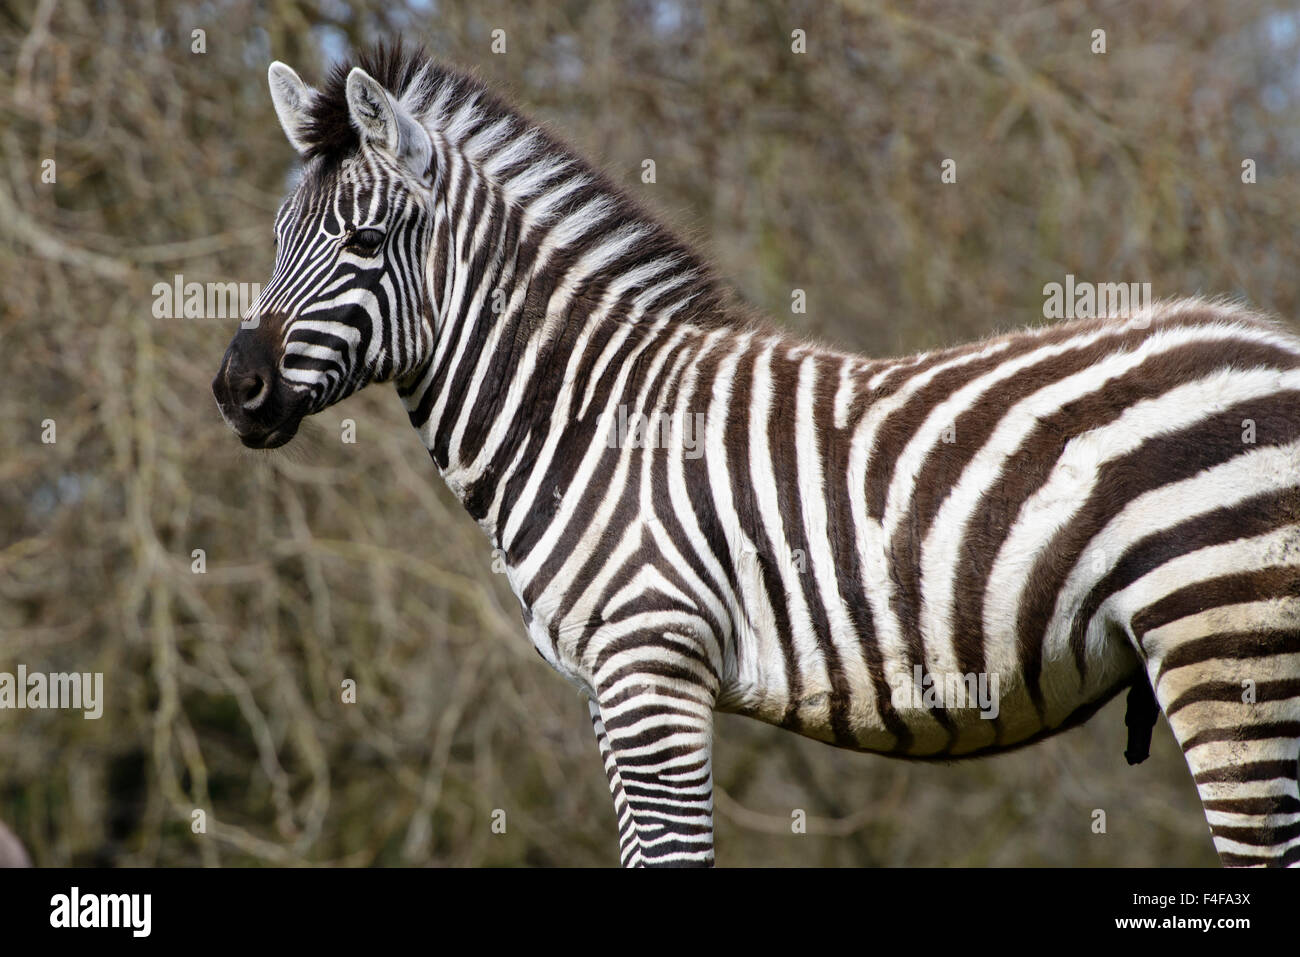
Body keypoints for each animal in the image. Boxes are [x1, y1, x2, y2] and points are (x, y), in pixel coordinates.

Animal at [212, 42, 1300, 867]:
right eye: (277, 235)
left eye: (362, 240)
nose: (236, 389)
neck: (586, 413)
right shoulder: (614, 688)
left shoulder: (650, 663)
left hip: (1224, 646)